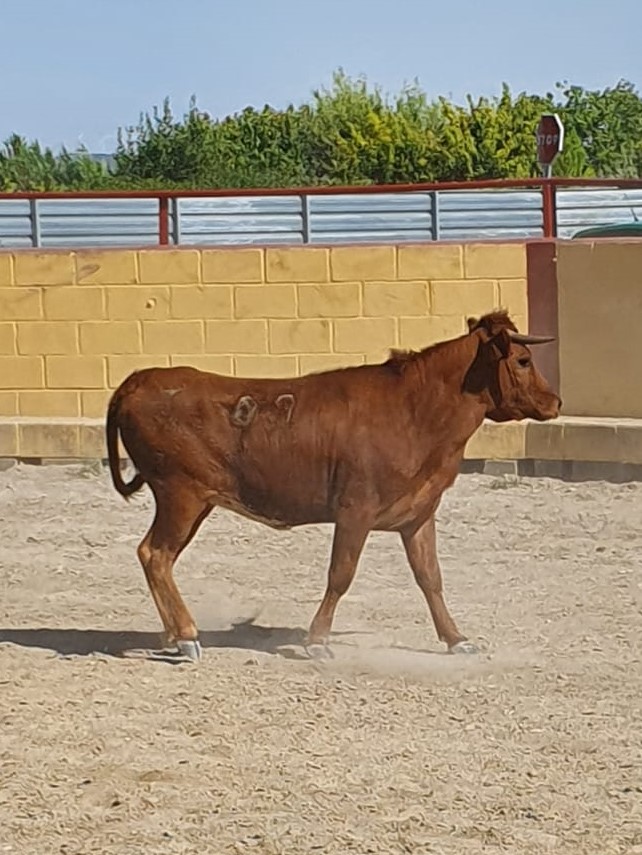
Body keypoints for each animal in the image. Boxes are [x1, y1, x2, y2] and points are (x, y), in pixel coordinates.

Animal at [106, 310, 560, 663]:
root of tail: (137, 381)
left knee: (158, 556)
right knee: (156, 554)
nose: (555, 402)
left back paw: (172, 634)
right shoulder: (355, 511)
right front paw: (318, 641)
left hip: (196, 502)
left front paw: (457, 640)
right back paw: (186, 636)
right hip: (179, 495)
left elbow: (430, 577)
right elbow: (341, 573)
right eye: (522, 359)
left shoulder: (418, 515)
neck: (414, 410)